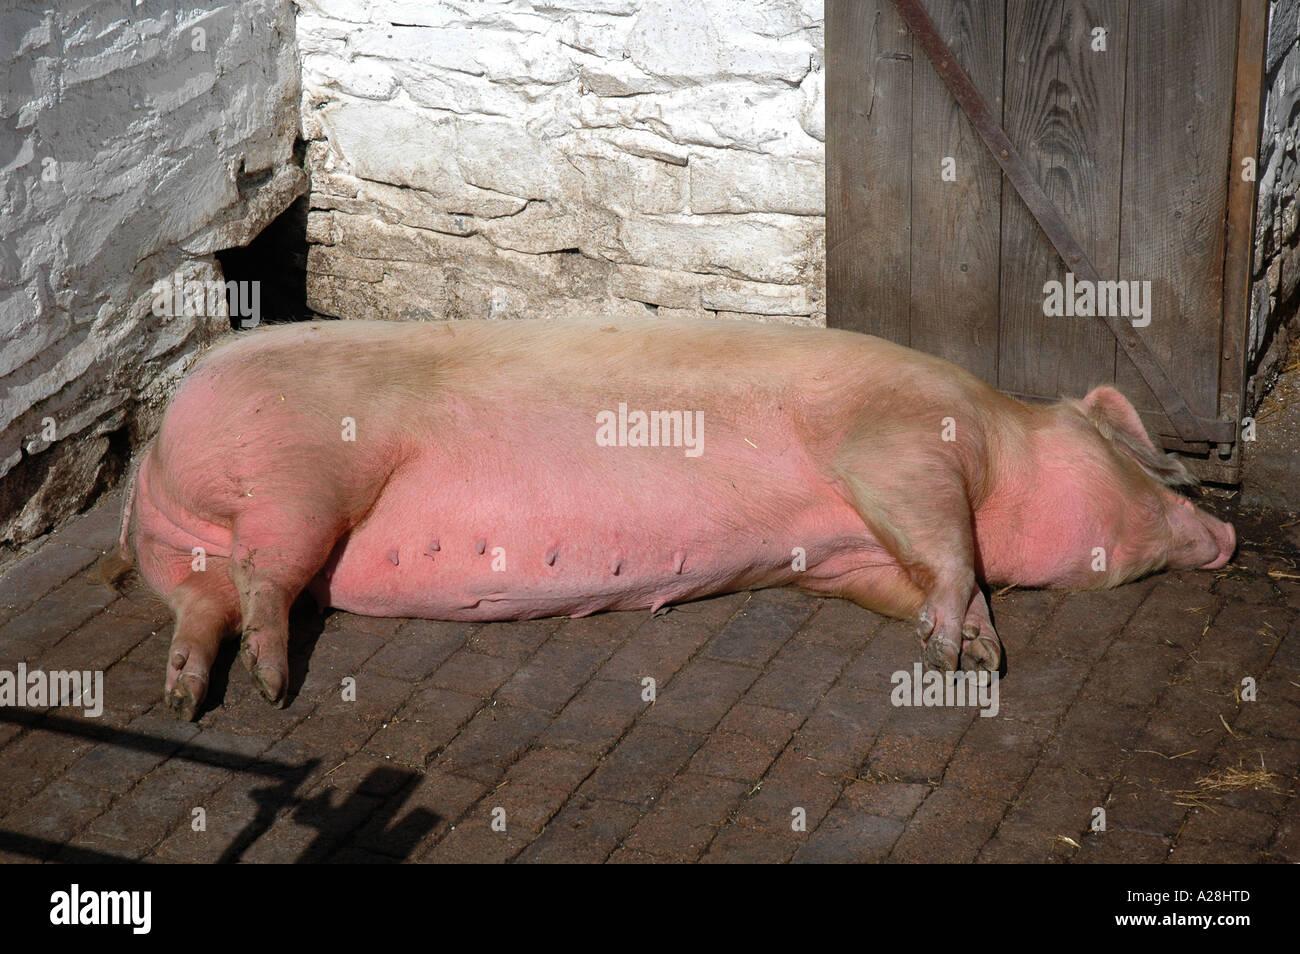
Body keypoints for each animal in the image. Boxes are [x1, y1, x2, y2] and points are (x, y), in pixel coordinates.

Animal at [101, 318, 1236, 720]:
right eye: (1142, 465)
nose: (1224, 536)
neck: (1001, 440)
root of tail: (151, 448)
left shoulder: (845, 560)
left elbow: (924, 576)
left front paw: (970, 655)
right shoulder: (897, 440)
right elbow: (945, 540)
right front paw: (960, 658)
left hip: (184, 549)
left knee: (201, 602)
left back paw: (185, 699)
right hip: (297, 471)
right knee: (265, 575)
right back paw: (270, 686)